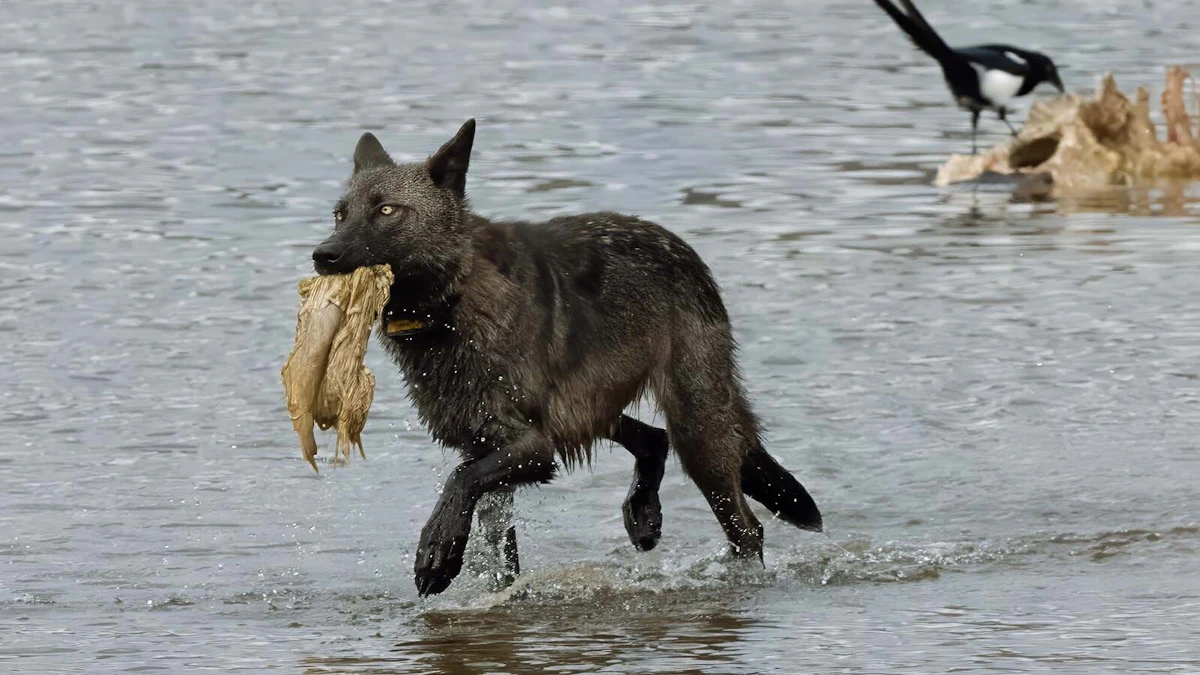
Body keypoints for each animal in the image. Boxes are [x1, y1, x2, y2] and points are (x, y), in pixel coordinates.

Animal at [311, 119, 823, 596]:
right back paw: (643, 512)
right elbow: (499, 548)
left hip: (696, 432)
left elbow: (457, 482)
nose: (322, 255)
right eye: (340, 214)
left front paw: (438, 551)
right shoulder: (488, 445)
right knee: (652, 439)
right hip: (591, 410)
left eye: (387, 210)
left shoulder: (530, 447)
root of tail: (684, 250)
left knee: (746, 527)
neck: (453, 302)